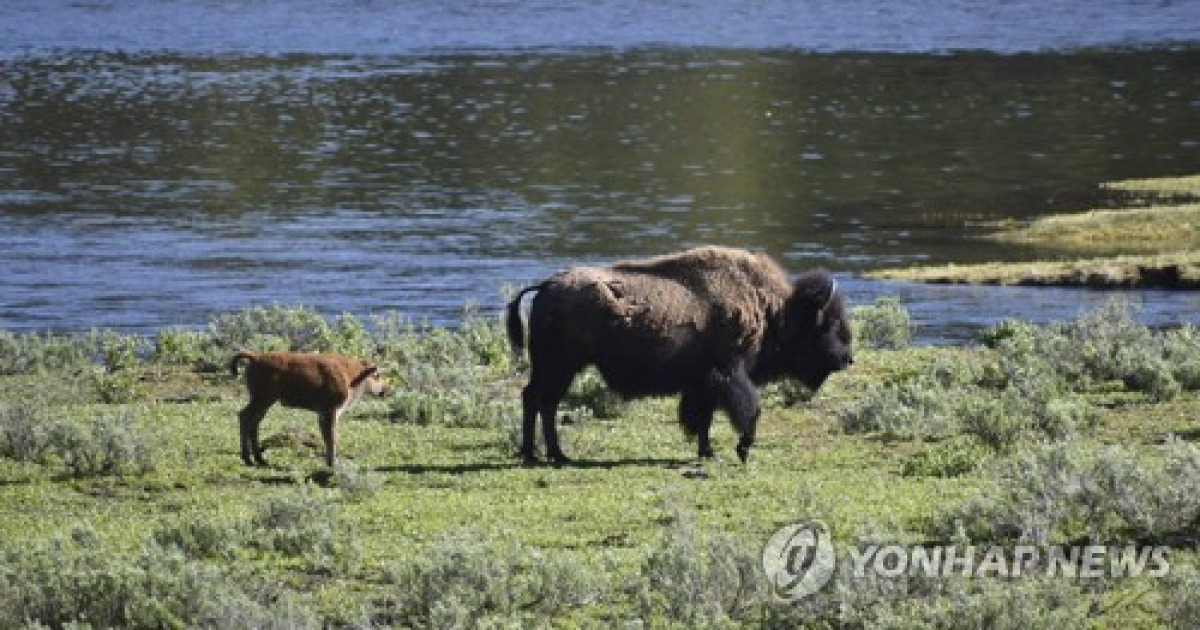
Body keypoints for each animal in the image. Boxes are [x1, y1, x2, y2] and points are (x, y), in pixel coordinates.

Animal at [505, 246, 853, 464]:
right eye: (829, 324)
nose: (848, 358)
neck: (773, 309)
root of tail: (546, 286)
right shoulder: (729, 375)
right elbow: (748, 410)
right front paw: (742, 449)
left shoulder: (703, 386)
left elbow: (703, 419)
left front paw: (708, 453)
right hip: (559, 367)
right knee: (542, 401)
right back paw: (548, 455)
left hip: (555, 368)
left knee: (536, 399)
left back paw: (542, 453)